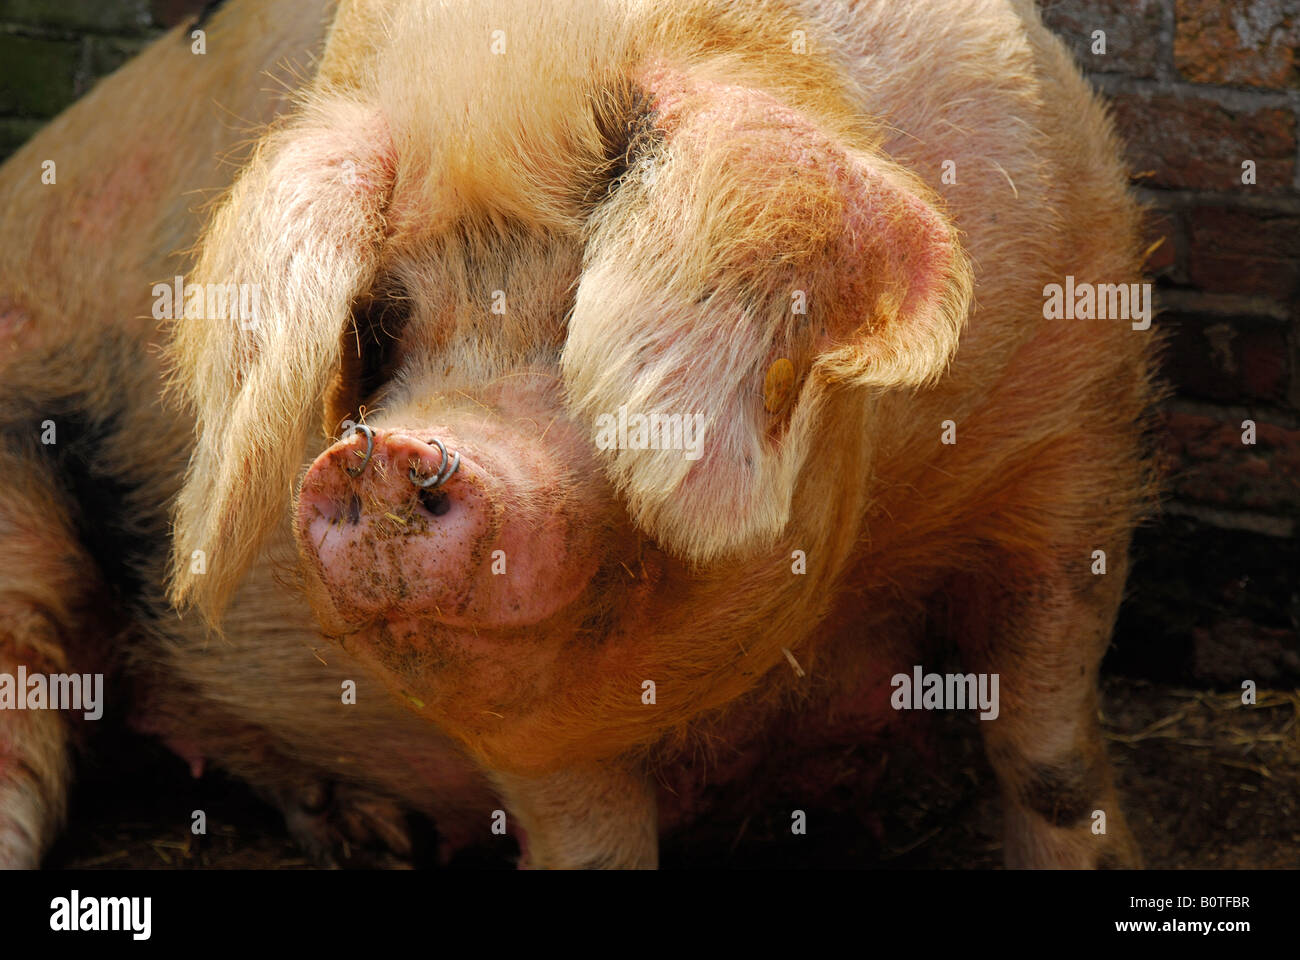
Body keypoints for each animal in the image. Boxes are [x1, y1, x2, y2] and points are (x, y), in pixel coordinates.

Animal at [0, 0, 1159, 871]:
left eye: (582, 316)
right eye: (377, 327)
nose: (383, 456)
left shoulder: (1074, 451)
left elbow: (1047, 759)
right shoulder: (522, 713)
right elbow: (588, 837)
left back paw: (373, 837)